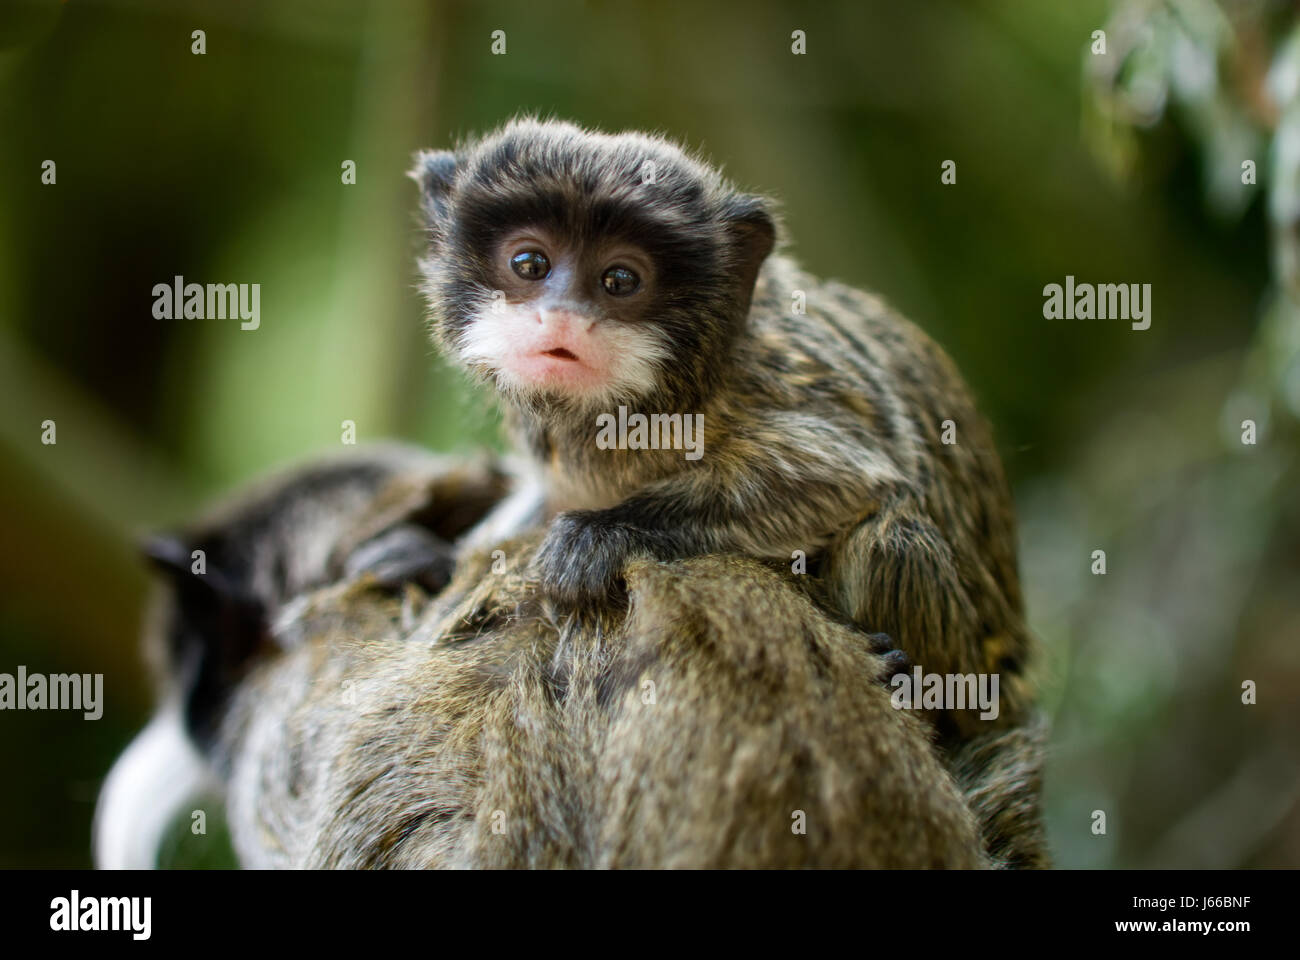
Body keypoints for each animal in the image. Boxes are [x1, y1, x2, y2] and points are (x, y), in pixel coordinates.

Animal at [410, 118, 1047, 865]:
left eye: (619, 279)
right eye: (531, 265)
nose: (562, 316)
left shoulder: (769, 376)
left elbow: (848, 473)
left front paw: (599, 534)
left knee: (891, 534)